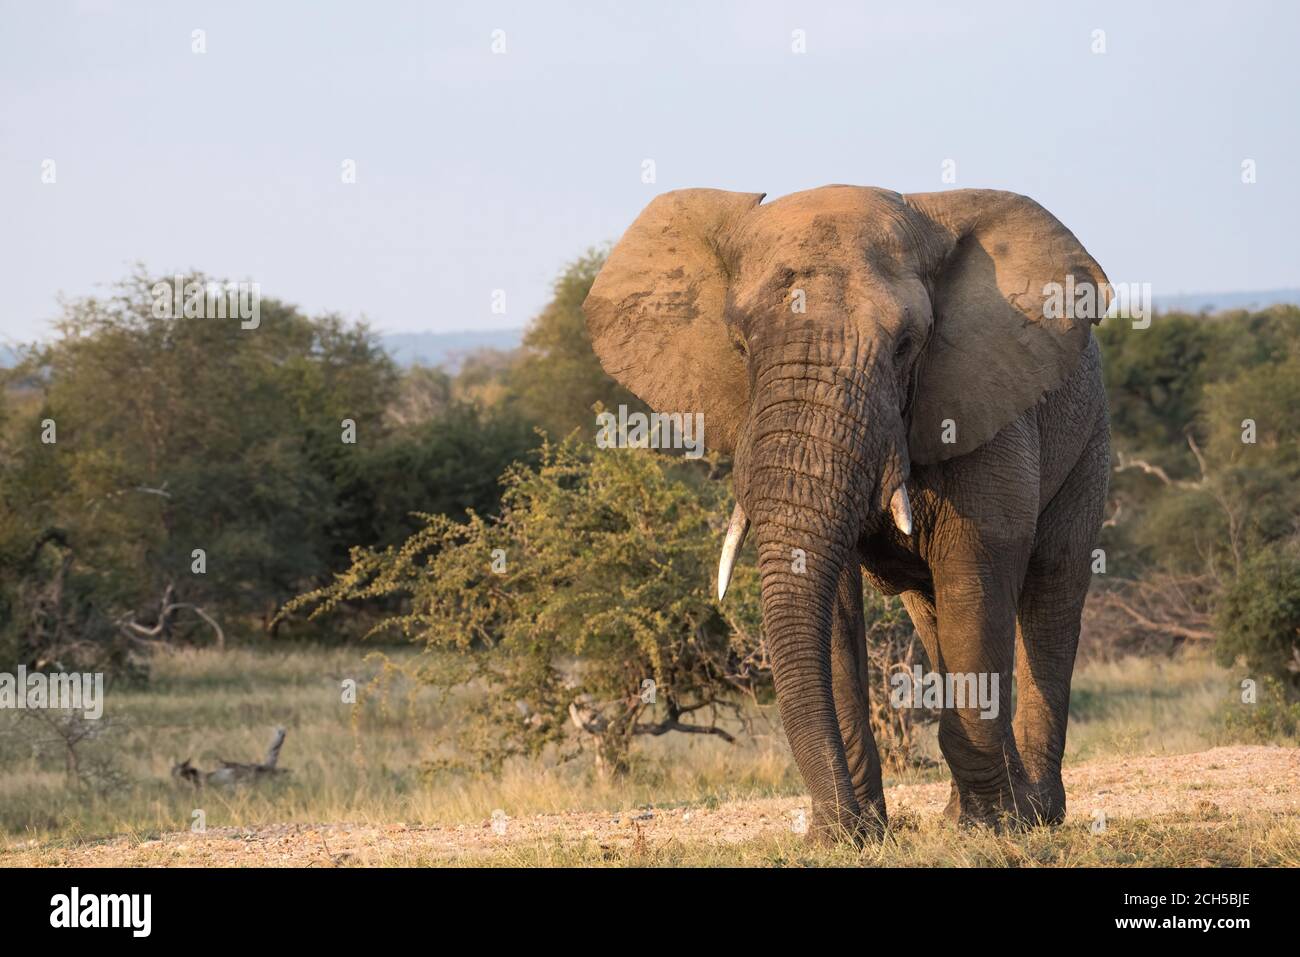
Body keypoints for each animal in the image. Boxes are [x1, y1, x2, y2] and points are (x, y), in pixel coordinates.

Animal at [582, 185, 1112, 844]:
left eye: (907, 345)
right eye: (740, 344)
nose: (828, 827)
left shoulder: (986, 403)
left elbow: (976, 574)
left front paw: (989, 830)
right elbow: (833, 607)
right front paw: (850, 836)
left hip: (1089, 434)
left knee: (1049, 593)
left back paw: (1035, 814)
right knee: (930, 610)